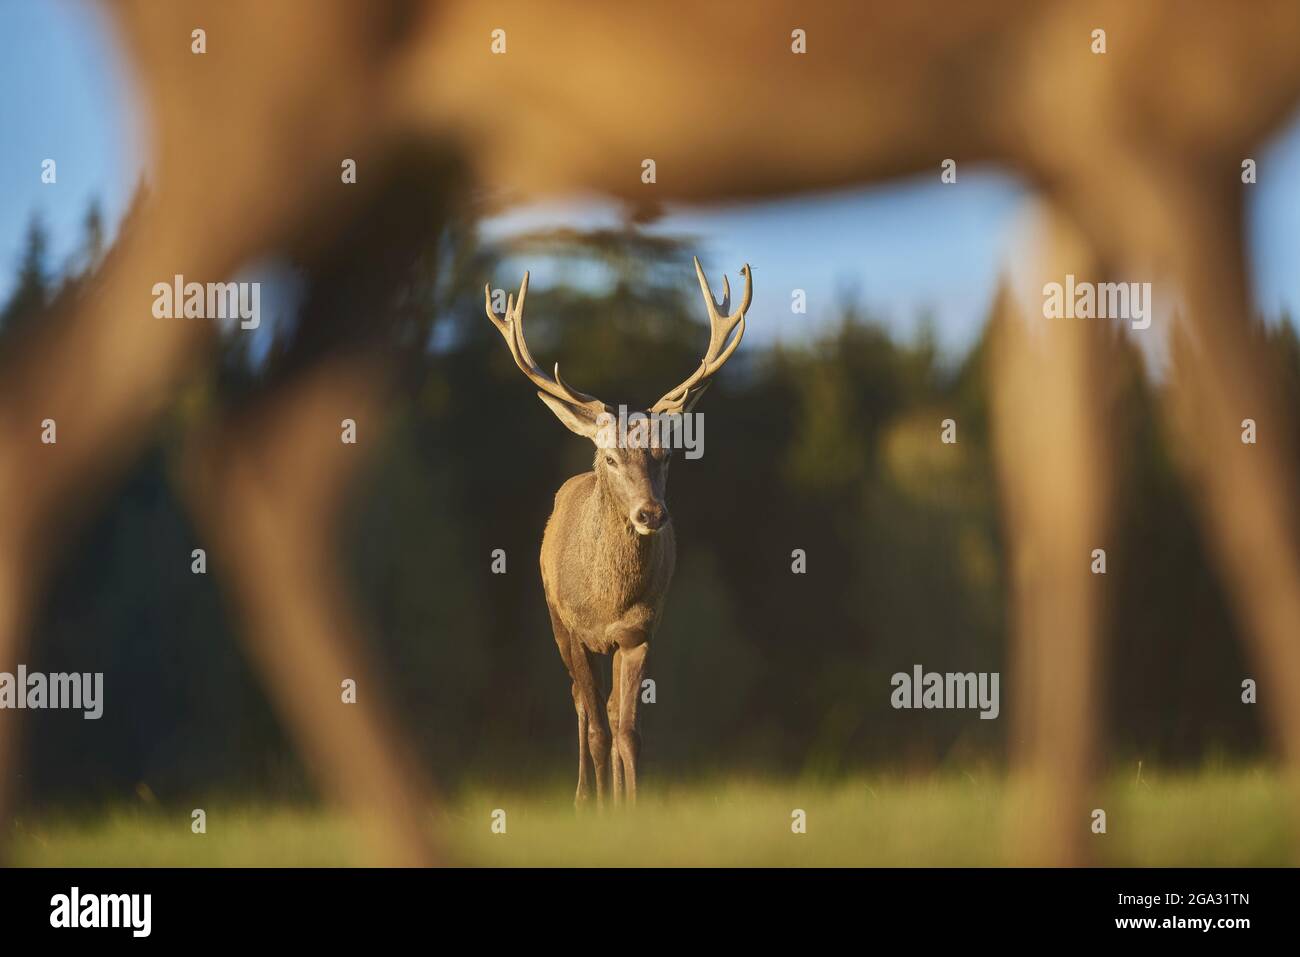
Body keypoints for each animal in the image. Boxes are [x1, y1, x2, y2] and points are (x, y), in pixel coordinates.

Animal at [484, 260, 750, 806]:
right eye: (609, 457)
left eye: (666, 455)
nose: (651, 514)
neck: (607, 600)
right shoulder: (572, 627)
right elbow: (598, 729)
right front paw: (600, 804)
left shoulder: (639, 633)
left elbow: (628, 731)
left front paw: (633, 805)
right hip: (557, 623)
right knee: (581, 707)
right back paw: (585, 795)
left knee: (607, 710)